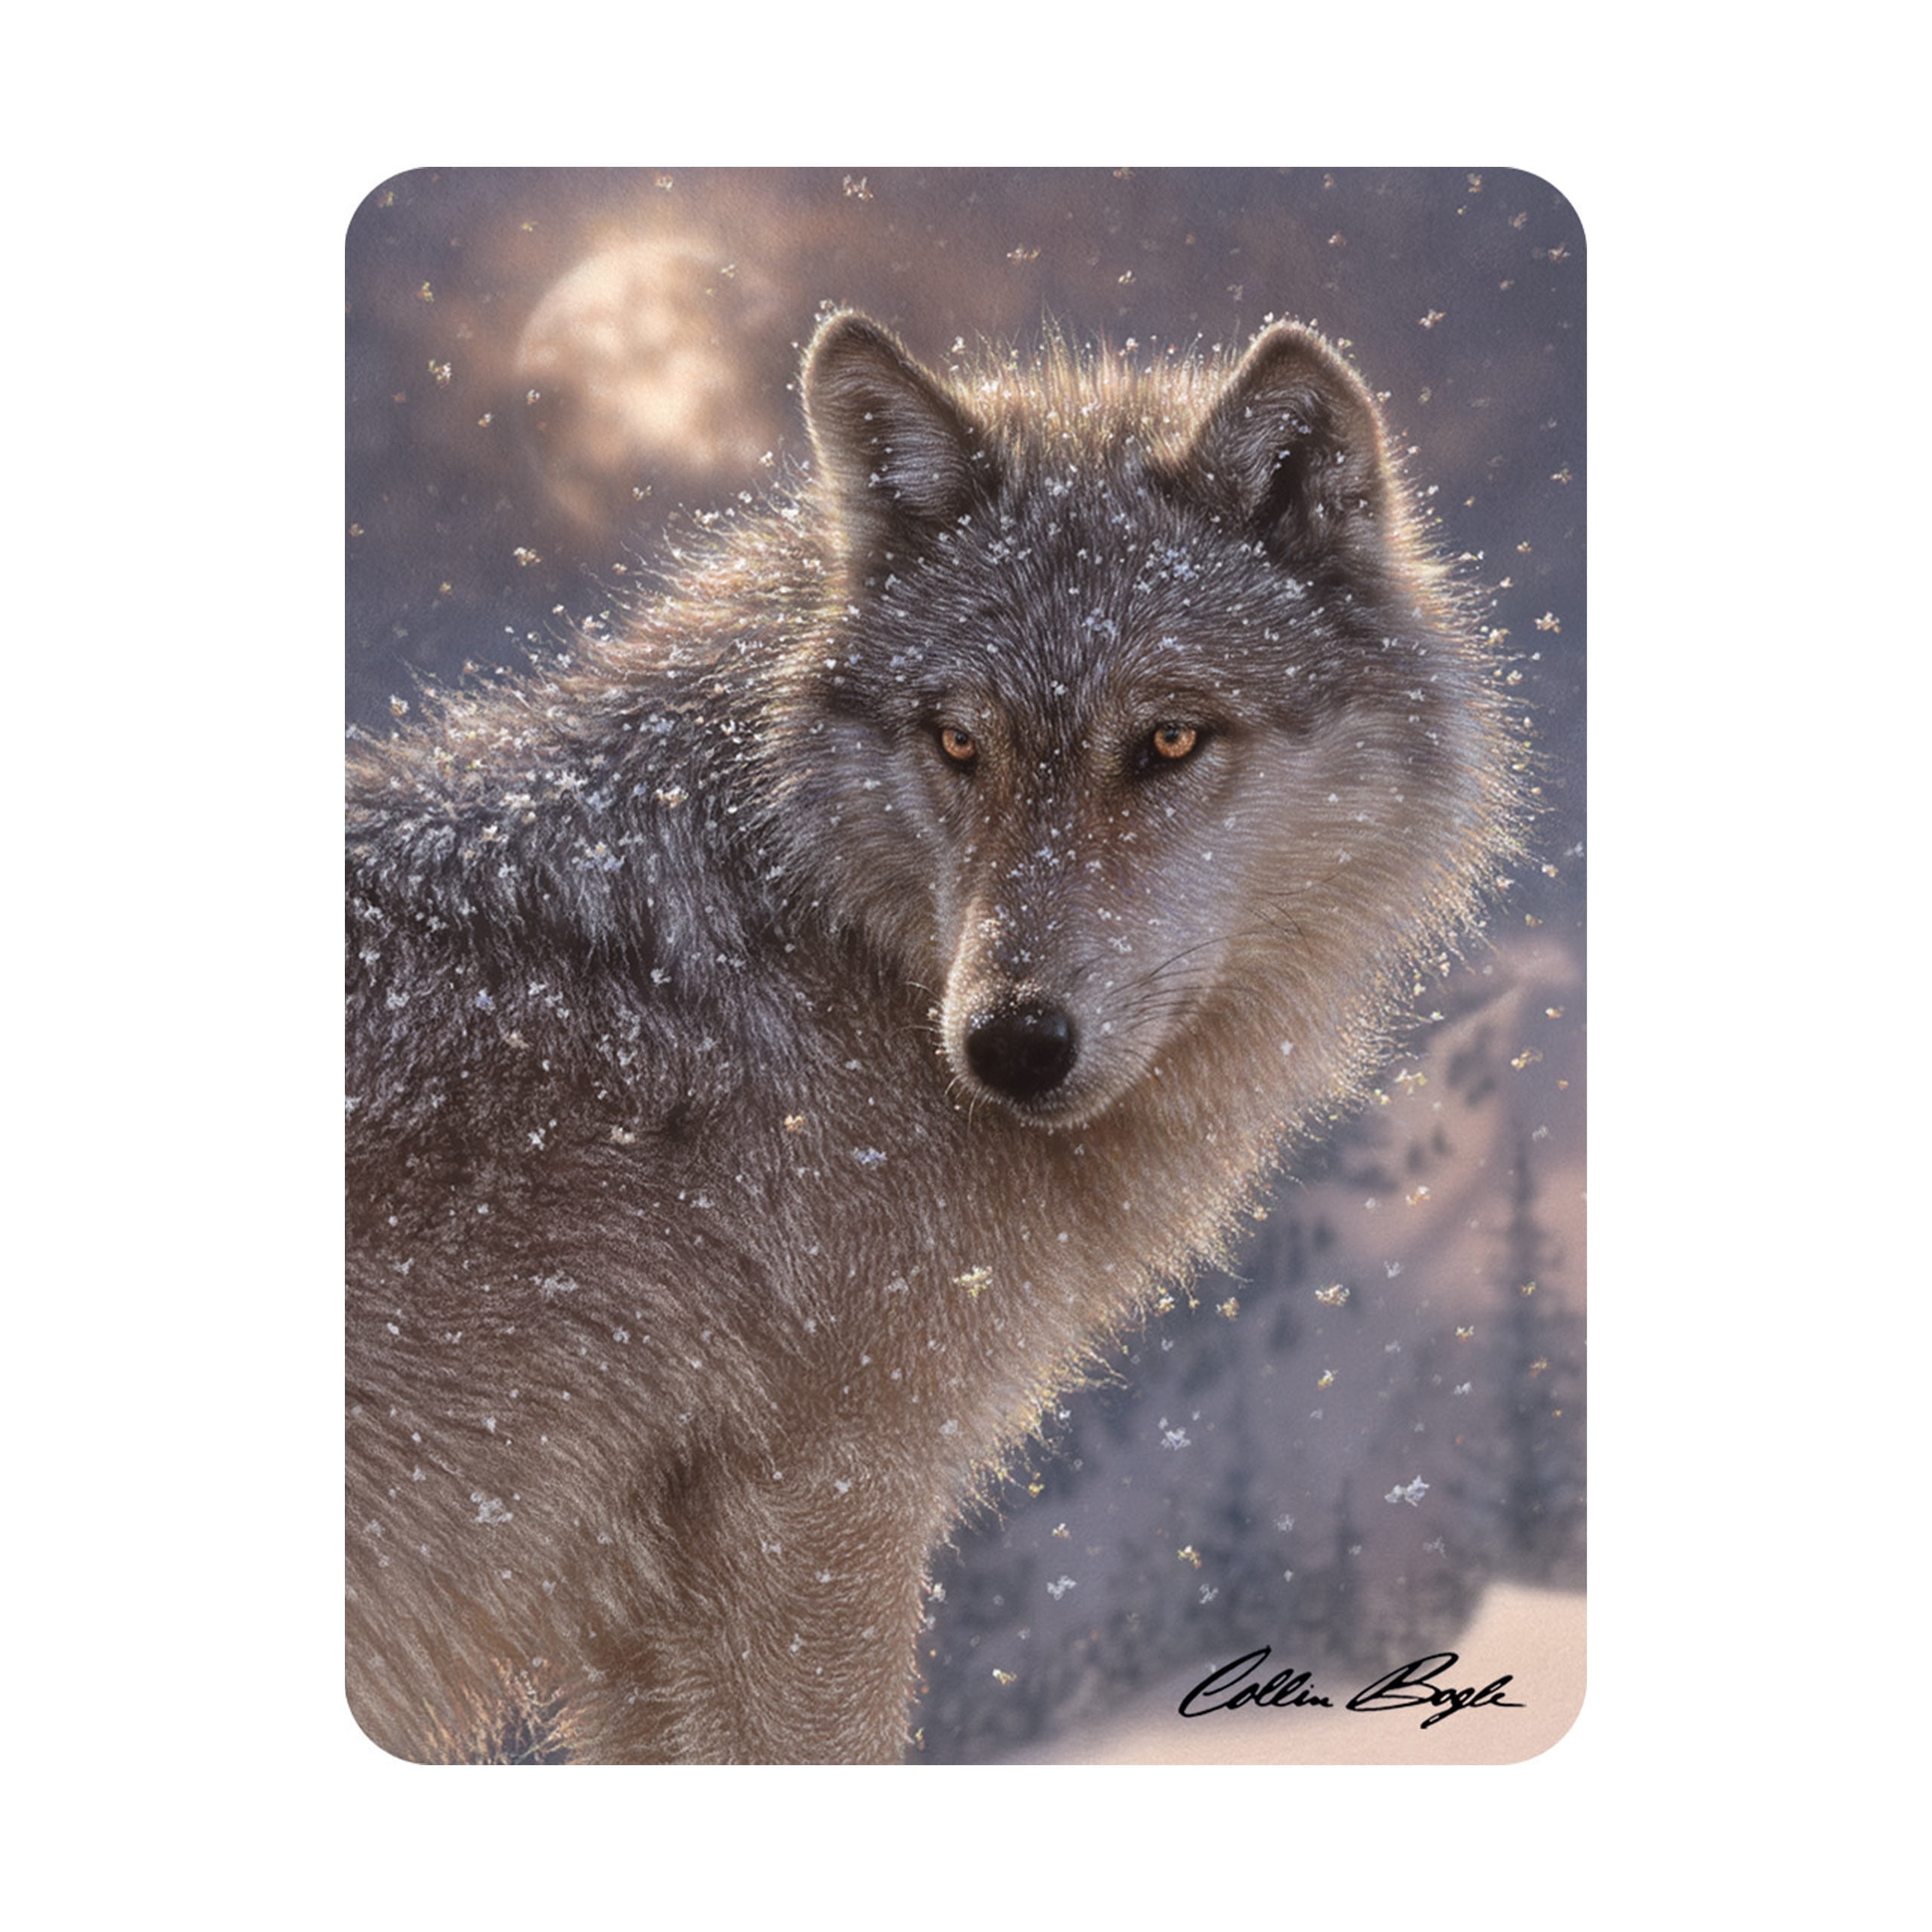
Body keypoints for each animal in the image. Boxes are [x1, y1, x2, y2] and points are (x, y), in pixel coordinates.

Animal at [346, 309, 1520, 1763]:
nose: (1011, 1044)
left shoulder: (656, 1611)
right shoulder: (820, 1513)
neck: (822, 934)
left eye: (1169, 739)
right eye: (961, 743)